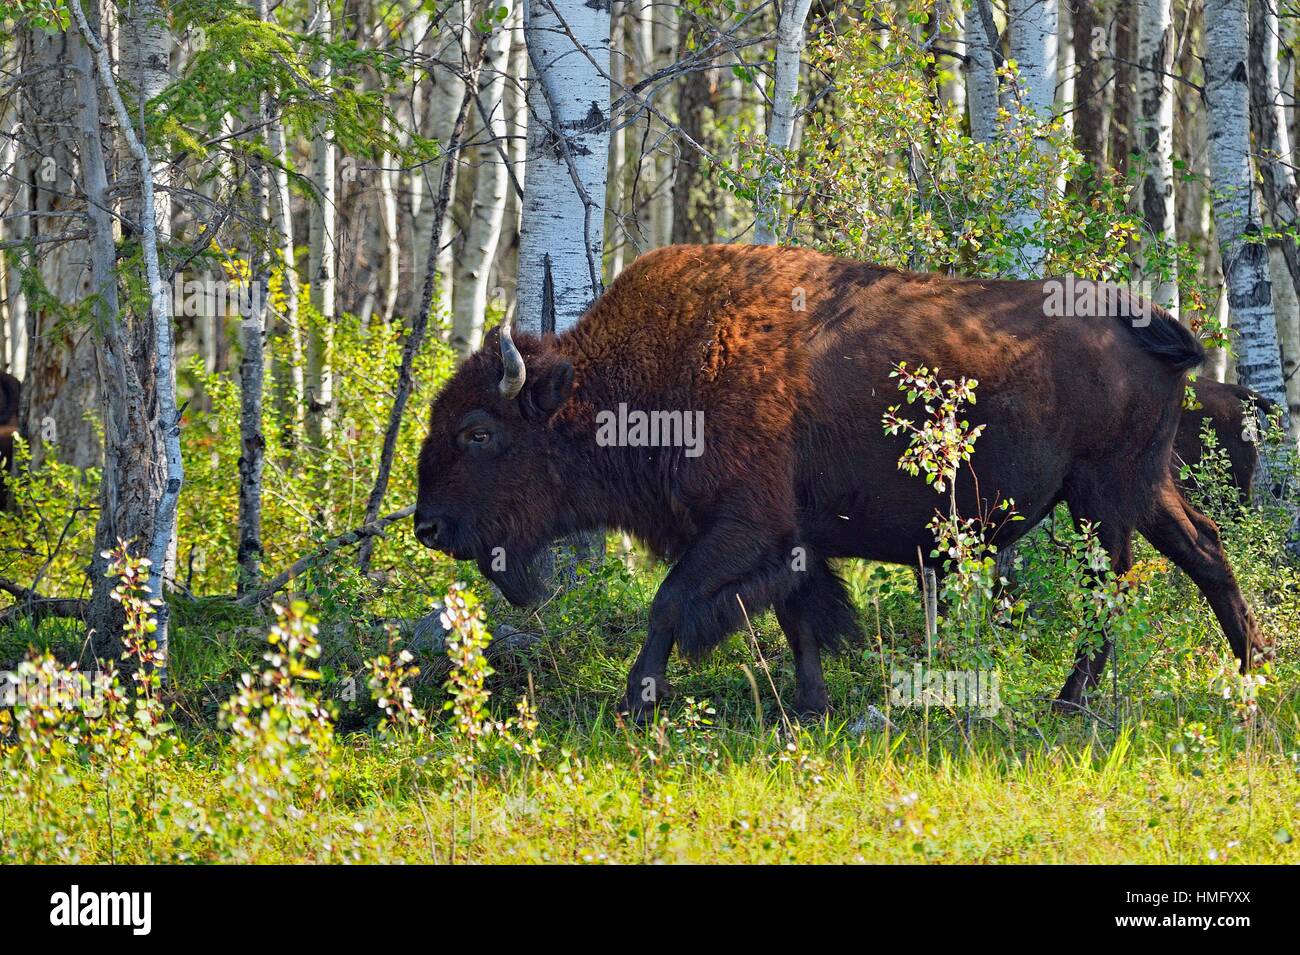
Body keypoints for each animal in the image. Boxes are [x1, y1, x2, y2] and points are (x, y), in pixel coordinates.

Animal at [415, 244, 1267, 719]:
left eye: (479, 431)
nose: (428, 526)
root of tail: (1144, 320)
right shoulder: (791, 539)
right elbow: (801, 618)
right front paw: (811, 704)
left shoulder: (742, 527)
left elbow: (668, 605)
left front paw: (635, 702)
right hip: (1143, 490)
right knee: (1204, 551)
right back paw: (1252, 665)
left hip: (1100, 499)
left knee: (1113, 583)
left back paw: (1071, 699)